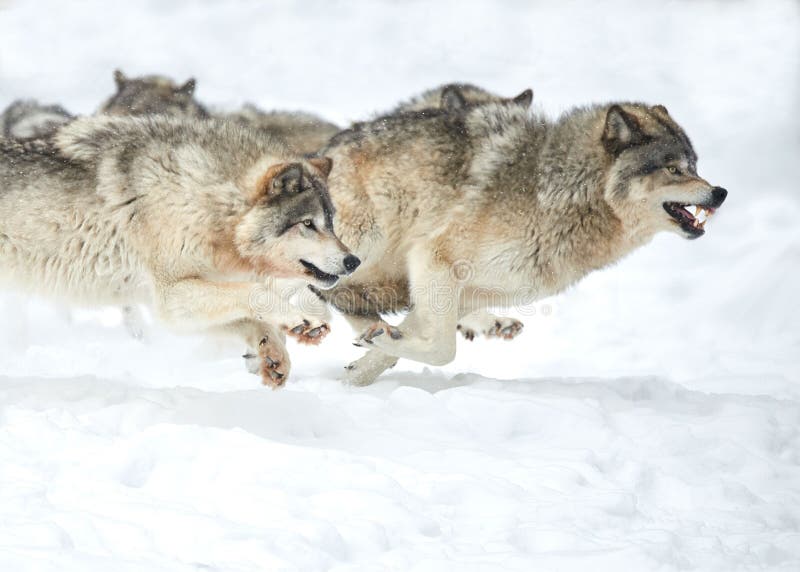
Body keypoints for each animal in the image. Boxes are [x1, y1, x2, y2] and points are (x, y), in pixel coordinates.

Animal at [0, 115, 359, 386]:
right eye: (308, 224)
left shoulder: (167, 304)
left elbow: (249, 319)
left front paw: (273, 353)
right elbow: (252, 292)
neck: (201, 199)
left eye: (331, 222)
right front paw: (301, 317)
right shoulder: (171, 295)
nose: (353, 261)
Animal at [315, 98, 728, 386]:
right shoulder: (434, 258)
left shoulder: (467, 292)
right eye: (673, 168)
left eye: (694, 165)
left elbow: (413, 342)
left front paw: (357, 373)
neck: (561, 193)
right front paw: (372, 350)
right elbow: (443, 350)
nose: (720, 192)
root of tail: (320, 153)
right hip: (363, 245)